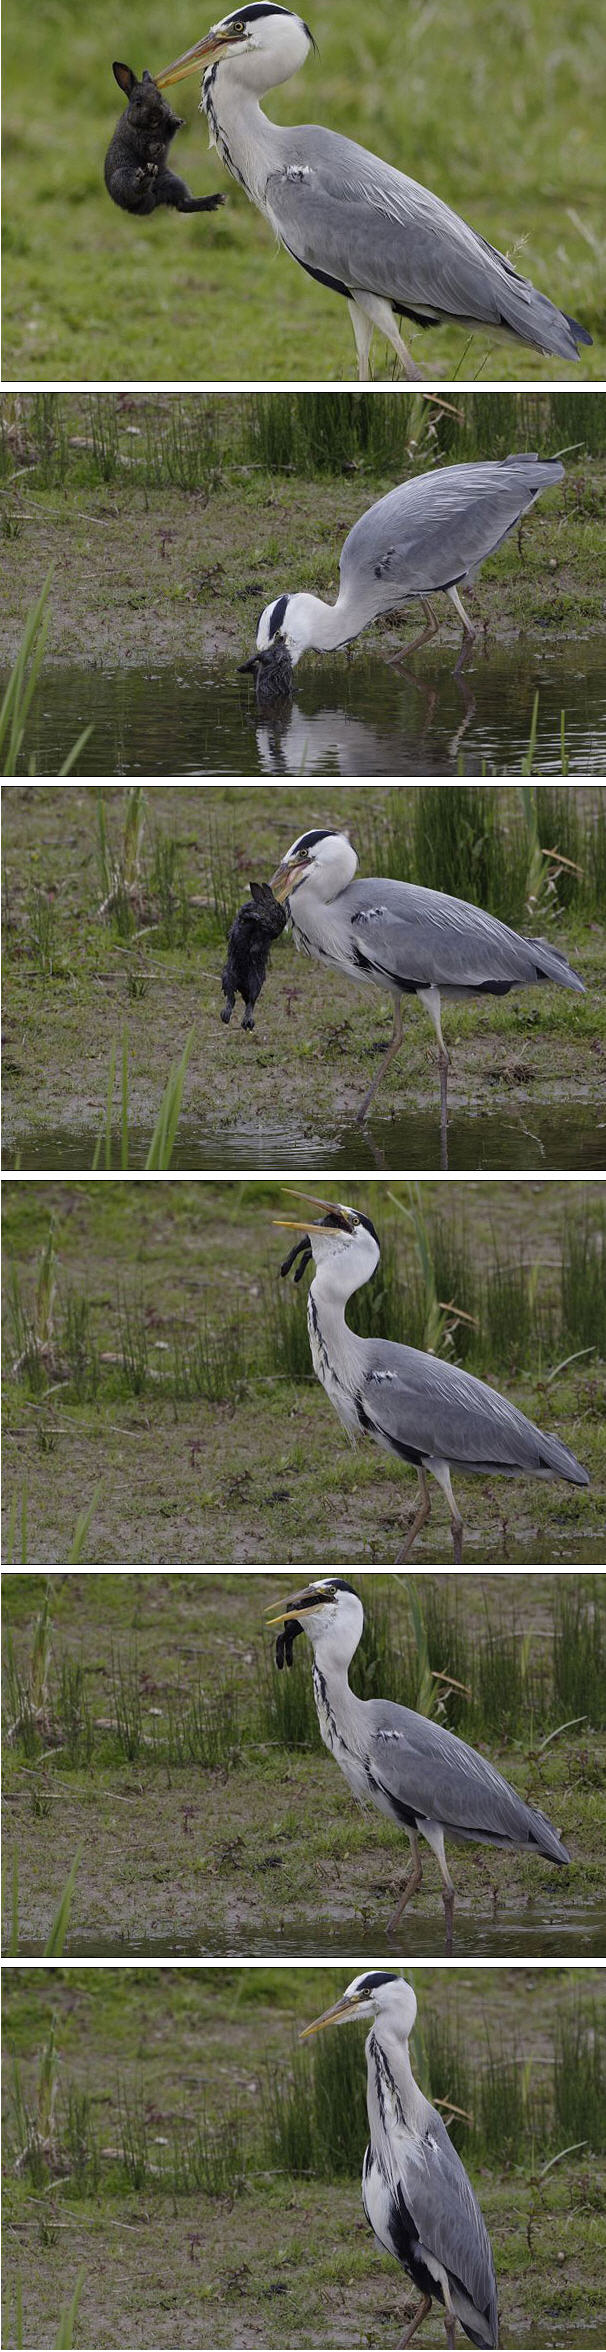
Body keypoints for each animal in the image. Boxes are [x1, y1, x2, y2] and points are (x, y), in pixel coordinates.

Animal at [104, 63, 224, 216]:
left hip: (172, 182)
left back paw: (215, 200)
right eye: (138, 103)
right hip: (122, 177)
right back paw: (146, 176)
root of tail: (149, 203)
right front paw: (157, 147)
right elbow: (147, 148)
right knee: (137, 189)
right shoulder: (136, 140)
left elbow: (169, 130)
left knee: (183, 204)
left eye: (160, 96)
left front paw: (176, 121)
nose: (156, 114)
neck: (152, 127)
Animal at [221, 882, 287, 1031]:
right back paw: (226, 1016)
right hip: (228, 975)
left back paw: (247, 1023)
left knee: (249, 1002)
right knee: (231, 998)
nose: (276, 934)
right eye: (276, 910)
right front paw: (256, 916)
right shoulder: (243, 917)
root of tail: (242, 985)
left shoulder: (263, 936)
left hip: (255, 981)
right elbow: (244, 916)